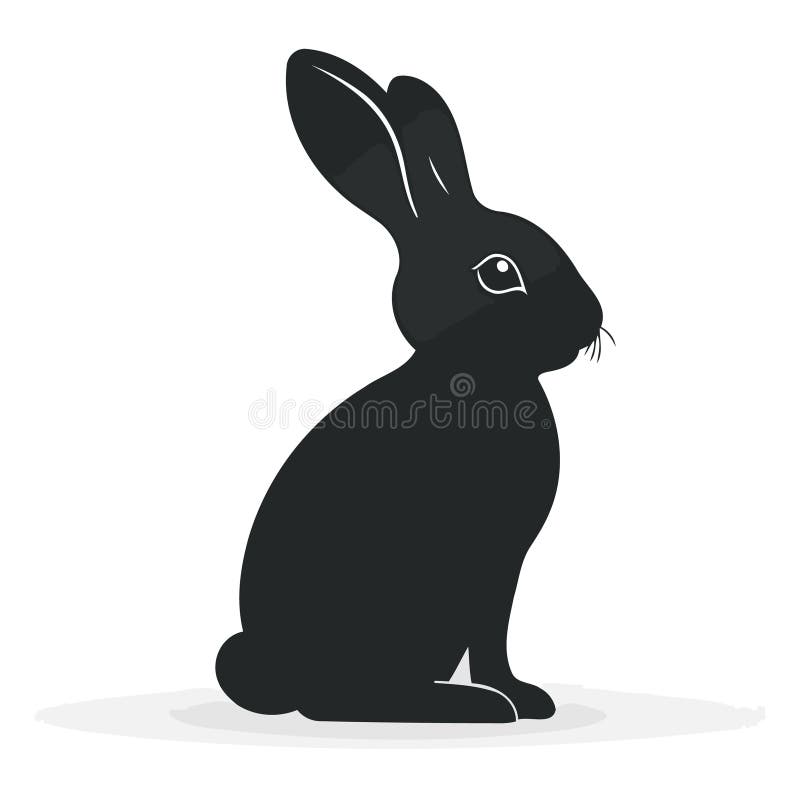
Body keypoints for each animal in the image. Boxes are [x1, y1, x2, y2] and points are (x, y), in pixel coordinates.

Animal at [216, 49, 608, 723]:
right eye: (499, 271)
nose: (591, 317)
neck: (478, 377)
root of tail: (280, 674)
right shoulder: (482, 561)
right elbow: (490, 639)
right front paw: (511, 700)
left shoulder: (501, 570)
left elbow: (495, 639)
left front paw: (528, 698)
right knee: (343, 700)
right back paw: (465, 706)